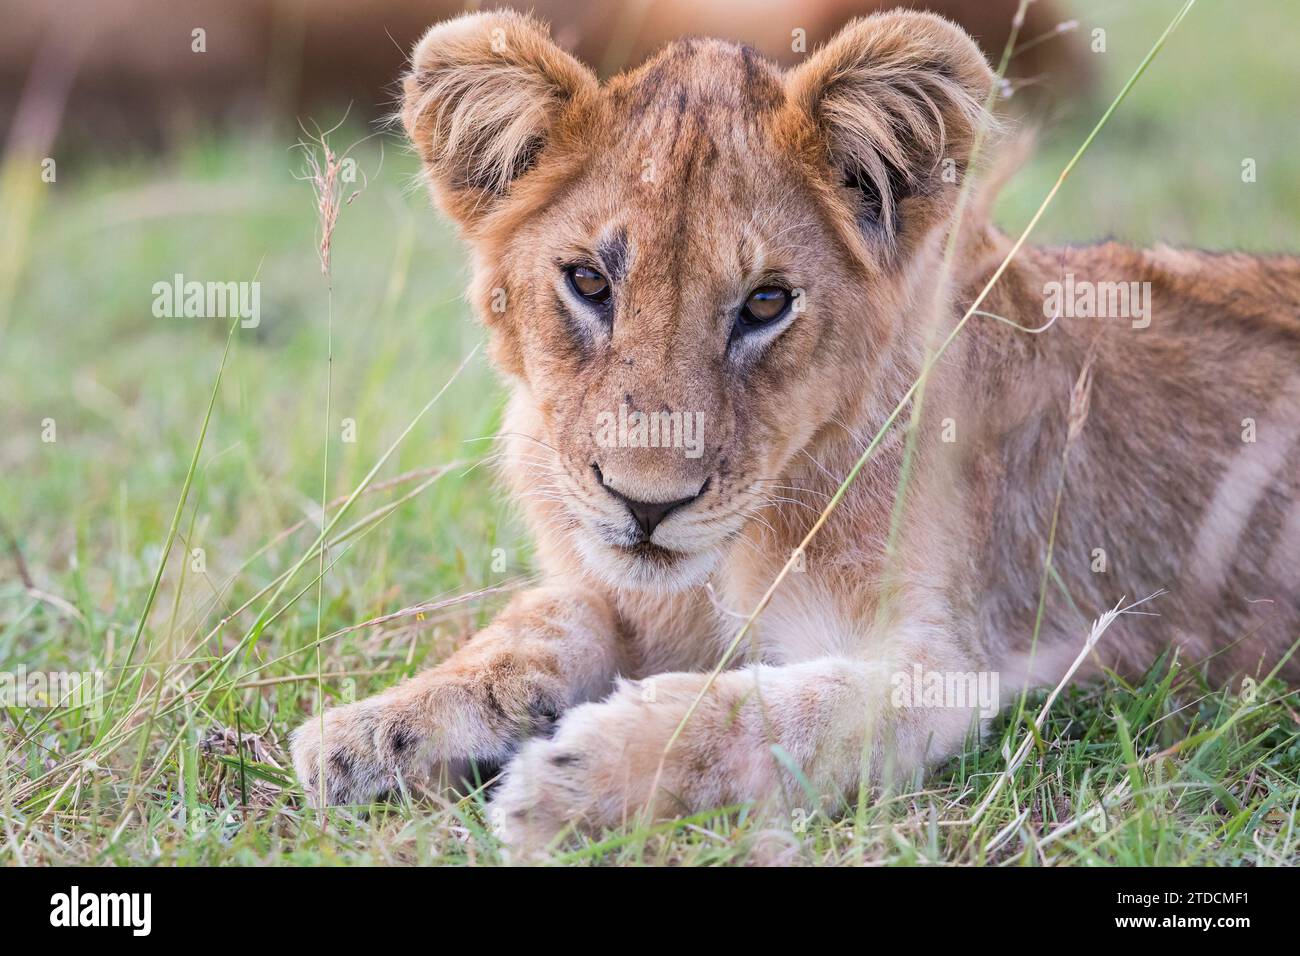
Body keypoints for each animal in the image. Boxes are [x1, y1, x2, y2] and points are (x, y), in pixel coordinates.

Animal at [291, 9, 1300, 854]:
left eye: (766, 304)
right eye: (588, 283)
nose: (645, 507)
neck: (735, 550)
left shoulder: (944, 666)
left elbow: (765, 714)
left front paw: (572, 779)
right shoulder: (626, 594)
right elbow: (540, 620)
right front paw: (370, 730)